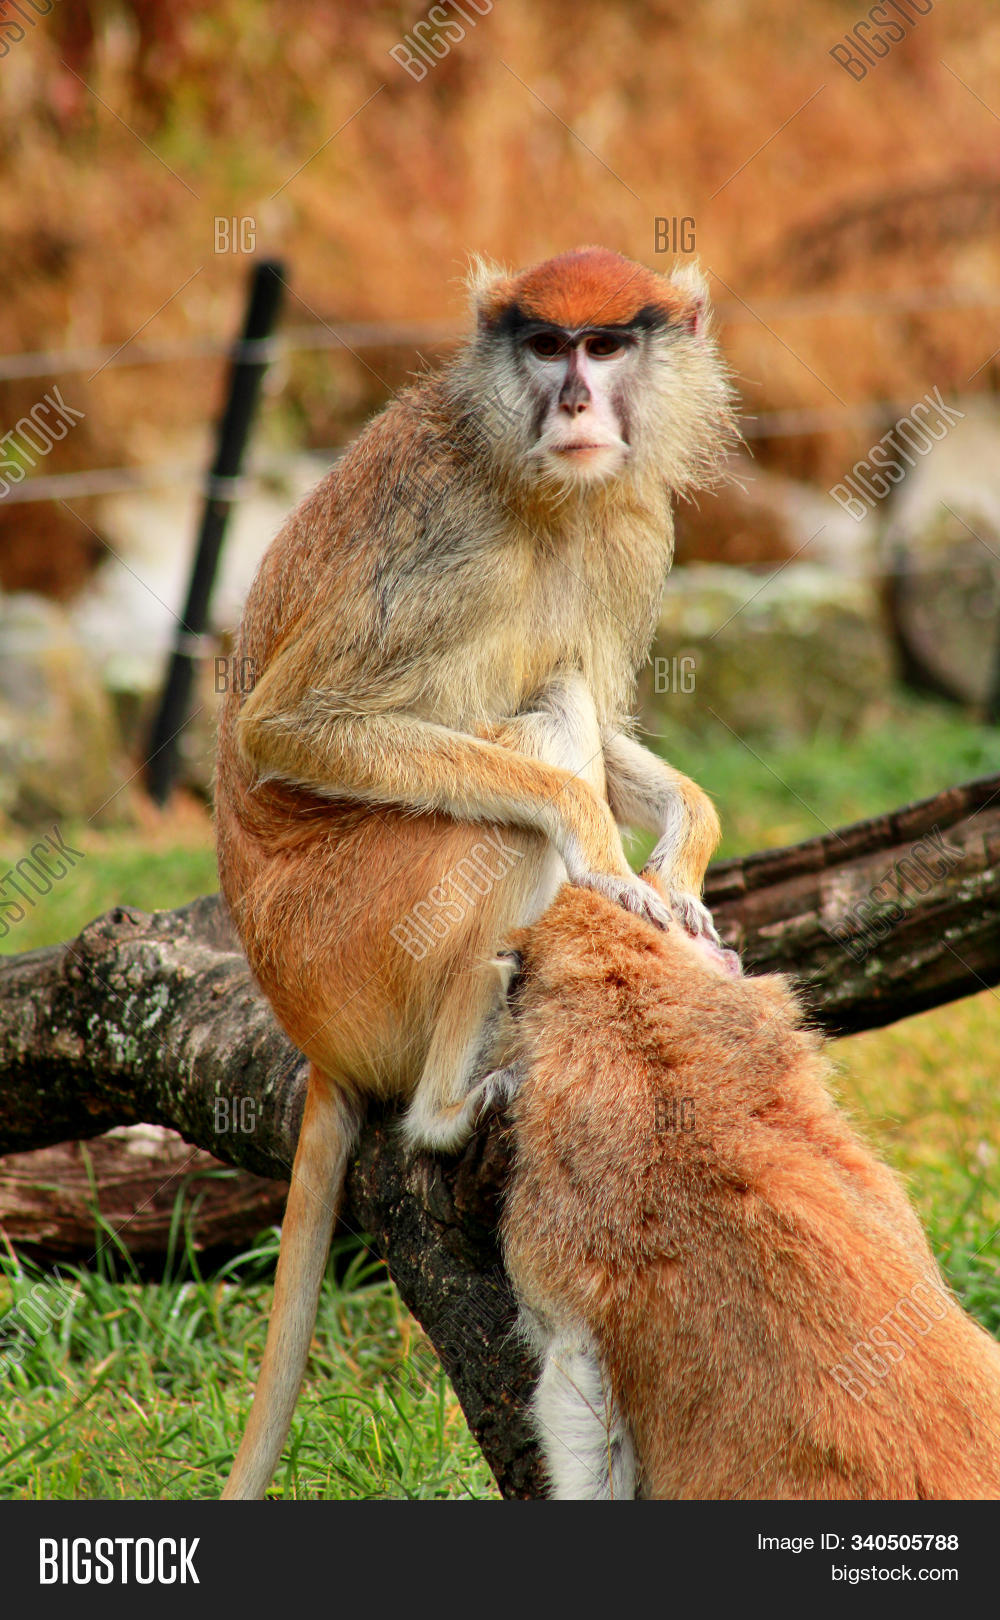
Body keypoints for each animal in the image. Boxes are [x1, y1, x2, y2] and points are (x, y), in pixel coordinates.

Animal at [214, 245, 737, 1498]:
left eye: (607, 345)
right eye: (545, 347)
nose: (578, 403)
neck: (535, 487)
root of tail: (306, 1031)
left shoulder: (628, 528)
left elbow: (602, 715)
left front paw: (683, 865)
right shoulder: (438, 538)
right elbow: (292, 728)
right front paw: (604, 855)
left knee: (558, 699)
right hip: (346, 943)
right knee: (508, 806)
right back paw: (449, 1102)